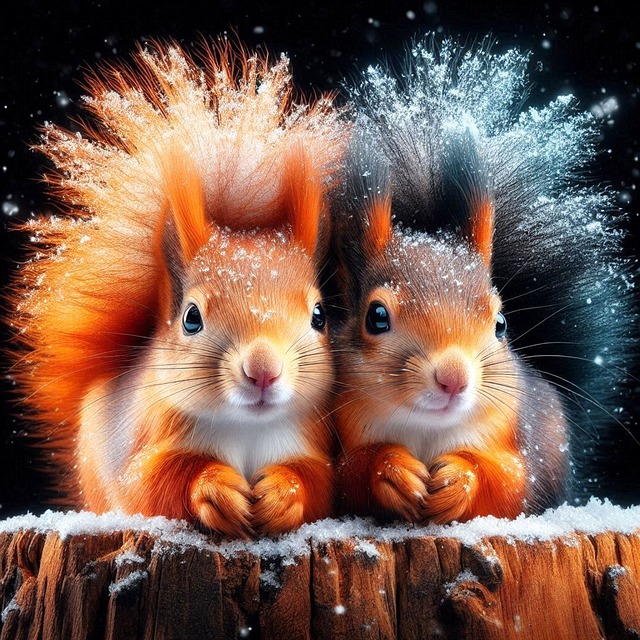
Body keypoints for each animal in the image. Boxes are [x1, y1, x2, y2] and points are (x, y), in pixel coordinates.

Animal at [8, 39, 348, 538]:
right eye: (191, 318)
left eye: (320, 316)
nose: (263, 371)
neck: (244, 428)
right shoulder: (142, 447)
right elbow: (156, 484)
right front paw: (214, 488)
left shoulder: (310, 445)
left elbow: (317, 484)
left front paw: (282, 494)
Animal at [327, 35, 637, 524]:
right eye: (376, 317)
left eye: (501, 324)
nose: (453, 379)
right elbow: (349, 476)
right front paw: (391, 468)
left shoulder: (520, 450)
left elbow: (510, 484)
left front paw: (461, 476)